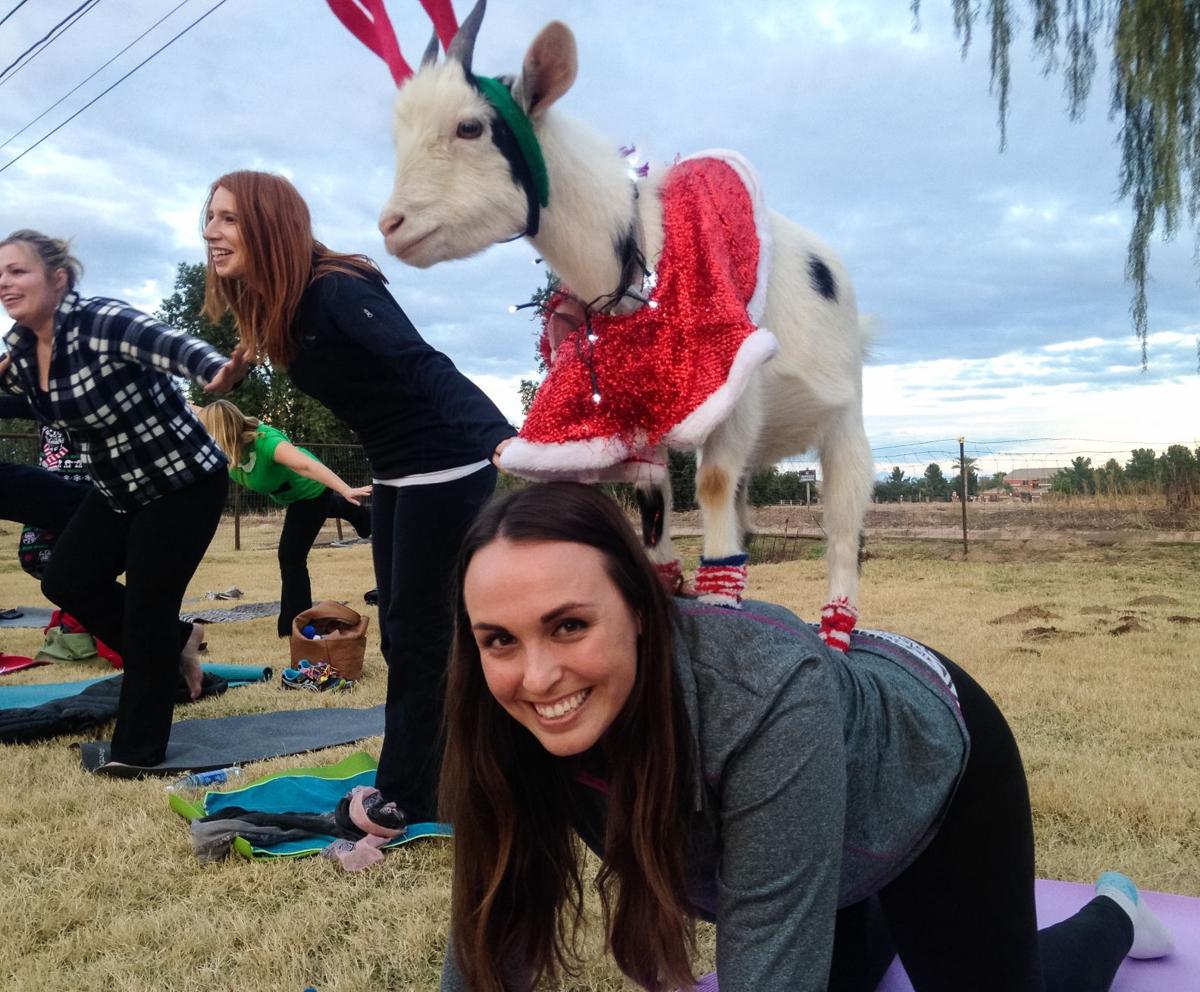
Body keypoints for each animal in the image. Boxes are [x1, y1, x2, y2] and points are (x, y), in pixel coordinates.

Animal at [326, 0, 874, 648]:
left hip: (845, 416)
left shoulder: (732, 389)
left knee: (841, 524)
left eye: (471, 127)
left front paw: (720, 604)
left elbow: (712, 482)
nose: (393, 226)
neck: (638, 250)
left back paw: (836, 632)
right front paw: (665, 588)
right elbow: (651, 495)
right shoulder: (635, 405)